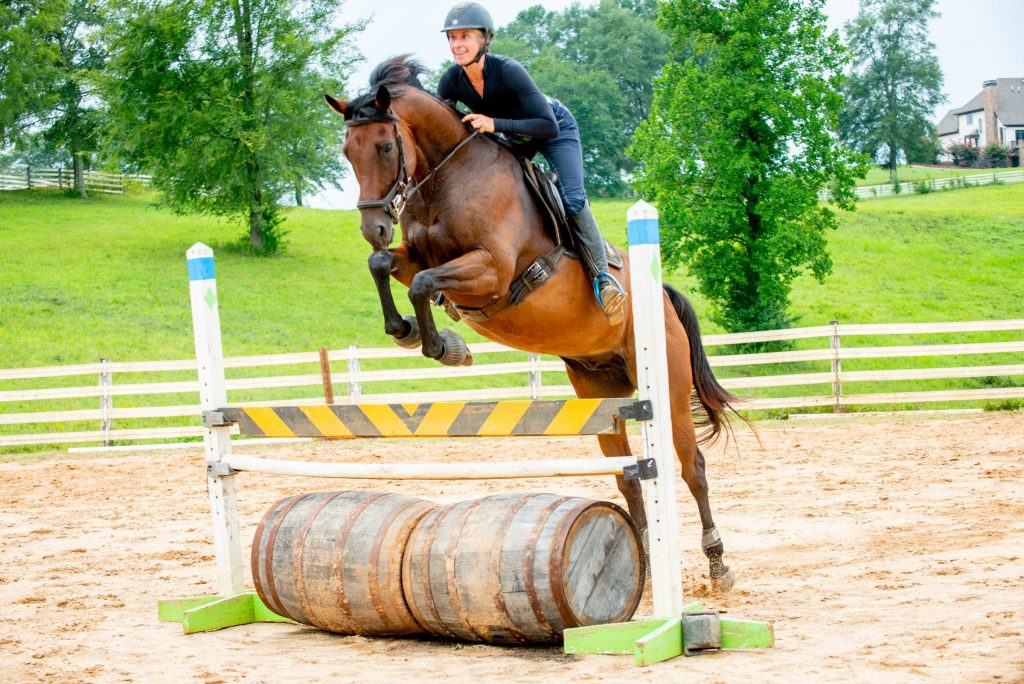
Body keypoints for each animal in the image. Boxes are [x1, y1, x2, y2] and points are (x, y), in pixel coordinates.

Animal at [325, 56, 740, 591]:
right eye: (346, 152)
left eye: (385, 145)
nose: (372, 227)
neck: (445, 177)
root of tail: (661, 299)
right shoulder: (417, 255)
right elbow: (384, 266)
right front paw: (410, 332)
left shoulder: (493, 270)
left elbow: (422, 284)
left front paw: (444, 347)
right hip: (598, 393)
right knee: (628, 474)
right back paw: (643, 567)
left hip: (664, 384)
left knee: (693, 468)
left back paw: (718, 563)